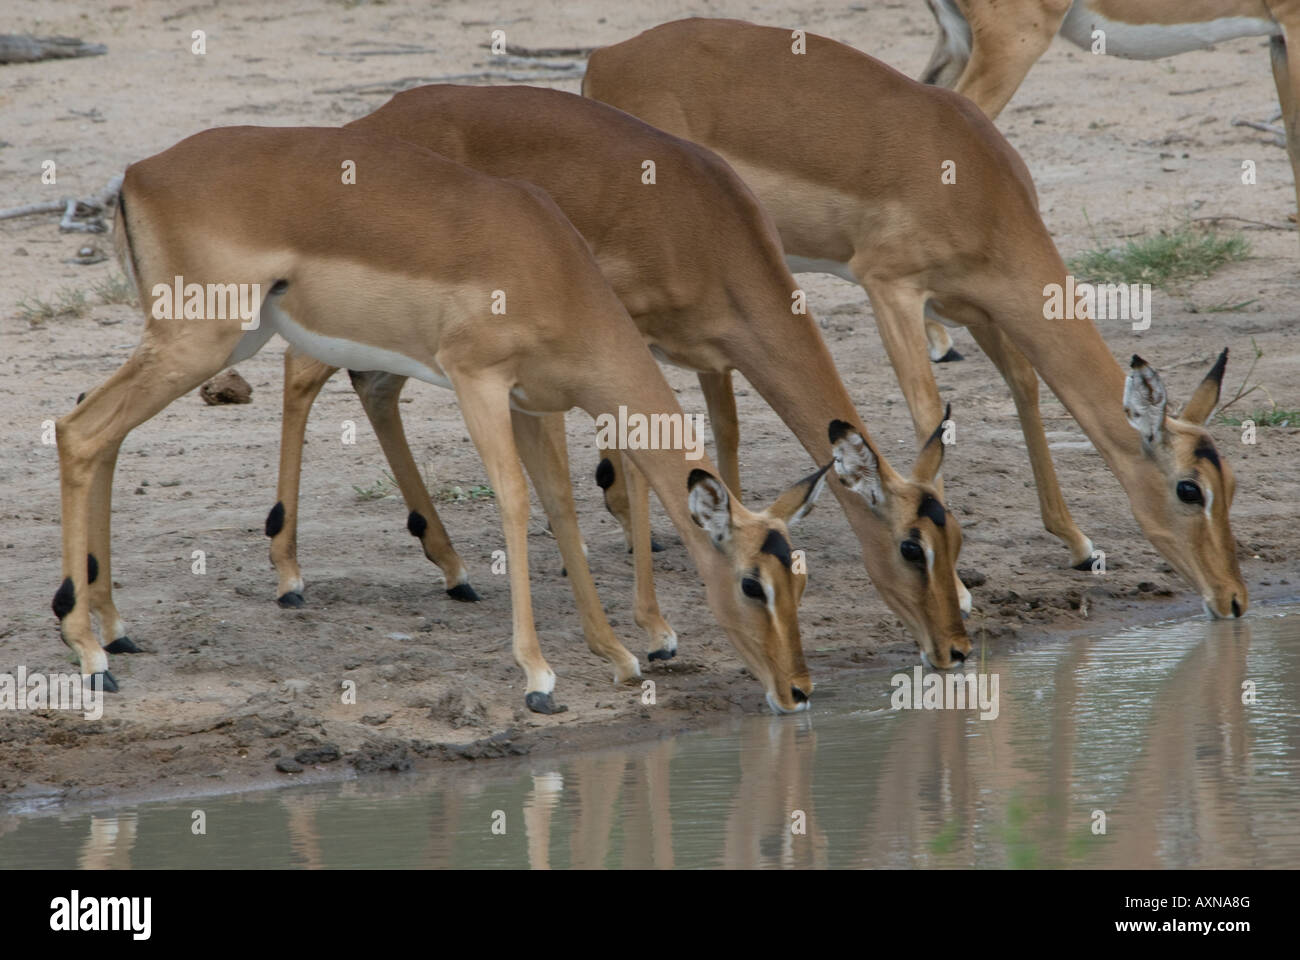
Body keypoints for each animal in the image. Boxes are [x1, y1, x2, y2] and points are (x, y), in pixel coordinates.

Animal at [52, 124, 829, 715]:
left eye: (800, 580)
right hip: (199, 343)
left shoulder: (530, 403)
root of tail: (137, 175)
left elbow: (562, 505)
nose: (798, 691)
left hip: (212, 344)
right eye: (751, 583)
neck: (552, 265)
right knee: (78, 431)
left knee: (98, 427)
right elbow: (515, 502)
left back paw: (115, 631)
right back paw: (90, 653)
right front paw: (540, 677)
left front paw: (616, 654)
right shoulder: (478, 383)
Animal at [269, 85, 972, 669]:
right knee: (301, 373)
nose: (957, 648)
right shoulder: (628, 338)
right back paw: (289, 577)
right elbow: (637, 471)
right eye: (911, 547)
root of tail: (375, 121)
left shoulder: (711, 355)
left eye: (955, 537)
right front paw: (655, 631)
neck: (706, 226)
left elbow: (722, 437)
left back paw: (453, 569)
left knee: (374, 387)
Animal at [584, 18, 1248, 618]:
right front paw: (960, 589)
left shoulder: (979, 304)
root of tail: (605, 56)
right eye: (1189, 489)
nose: (1235, 600)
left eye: (1232, 484)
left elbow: (1024, 384)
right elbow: (930, 414)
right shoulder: (893, 290)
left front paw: (1080, 544)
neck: (979, 185)